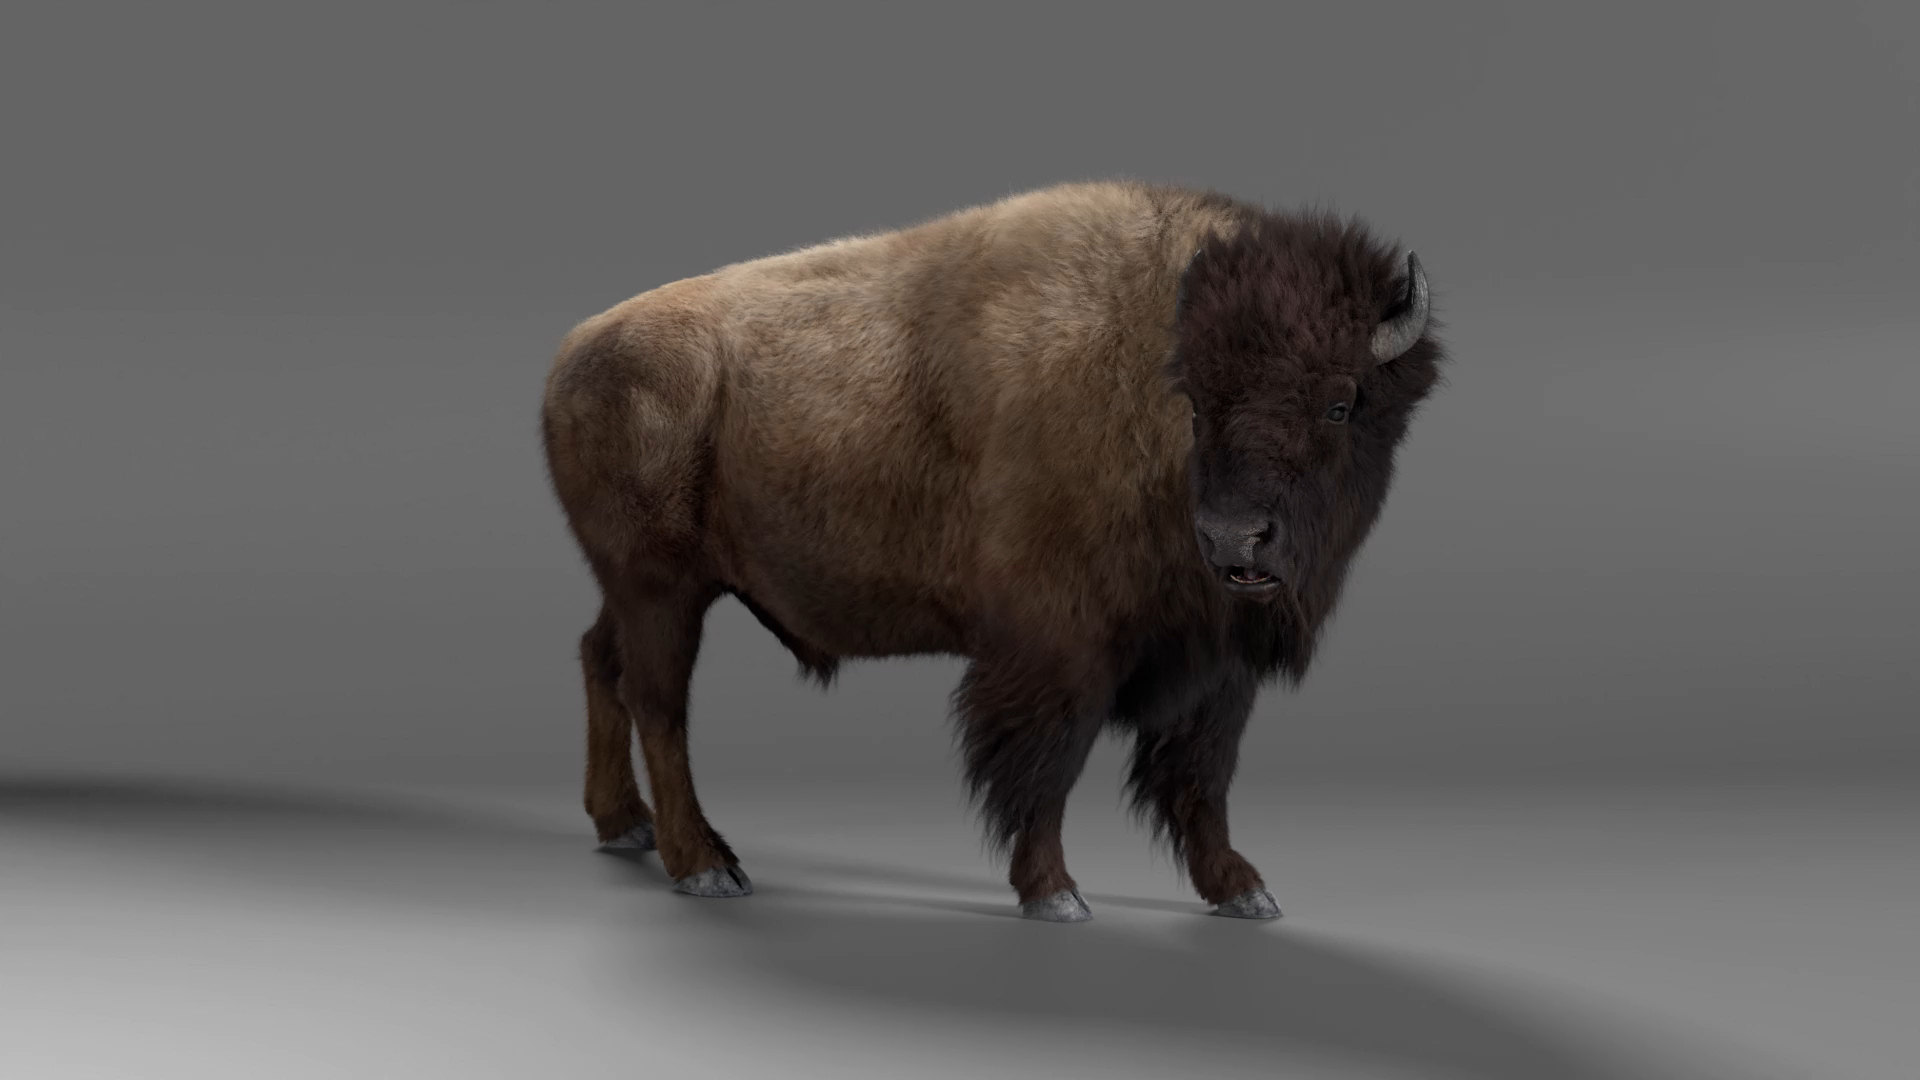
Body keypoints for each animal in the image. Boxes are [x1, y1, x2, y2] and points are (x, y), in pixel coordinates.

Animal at [540, 180, 1443, 921]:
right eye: (1198, 401)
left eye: (1341, 403)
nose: (1234, 538)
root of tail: (574, 352)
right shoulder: (1057, 646)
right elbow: (1047, 763)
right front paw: (1054, 893)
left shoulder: (1217, 662)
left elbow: (1201, 774)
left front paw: (1240, 888)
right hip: (661, 587)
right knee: (660, 702)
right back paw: (704, 864)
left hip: (633, 590)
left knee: (598, 659)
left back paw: (625, 826)